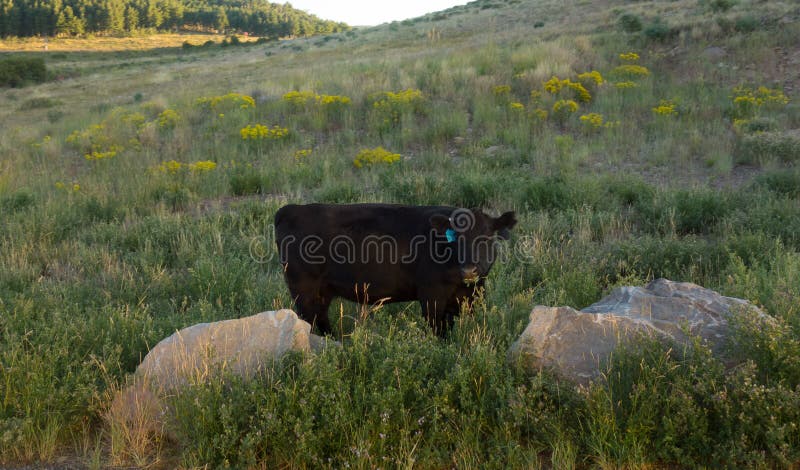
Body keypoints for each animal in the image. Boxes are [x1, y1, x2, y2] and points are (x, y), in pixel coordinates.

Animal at [274, 203, 517, 336]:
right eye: (456, 239)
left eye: (487, 237)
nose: (468, 271)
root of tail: (289, 209)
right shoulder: (431, 295)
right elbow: (438, 331)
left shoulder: (471, 295)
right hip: (303, 288)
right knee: (311, 320)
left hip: (322, 291)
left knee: (321, 320)